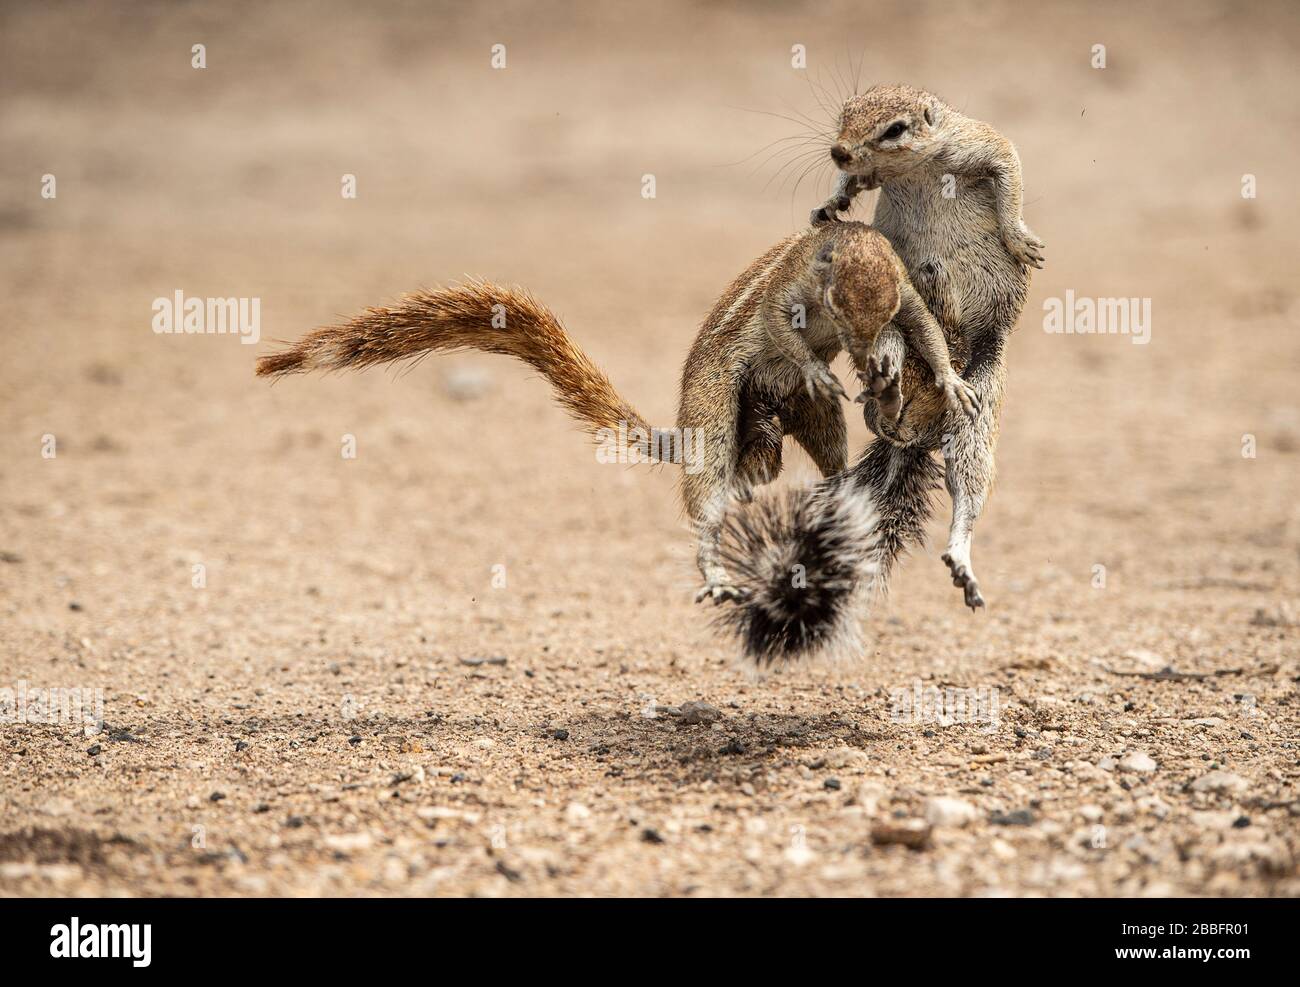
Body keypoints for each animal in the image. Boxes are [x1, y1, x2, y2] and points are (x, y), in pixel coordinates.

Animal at [255, 220, 977, 601]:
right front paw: (823, 365)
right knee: (710, 493)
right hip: (715, 407)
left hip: (788, 423)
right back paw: (717, 566)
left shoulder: (904, 293)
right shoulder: (784, 298)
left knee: (796, 462)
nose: (866, 355)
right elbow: (784, 331)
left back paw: (838, 493)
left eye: (880, 307)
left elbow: (925, 331)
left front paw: (933, 380)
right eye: (836, 296)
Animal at [722, 84, 1044, 663]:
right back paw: (888, 385)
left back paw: (961, 555)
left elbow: (1008, 168)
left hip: (979, 409)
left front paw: (1019, 238)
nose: (839, 151)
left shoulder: (973, 143)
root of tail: (917, 435)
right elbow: (852, 189)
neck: (913, 169)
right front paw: (832, 201)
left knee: (969, 485)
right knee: (889, 364)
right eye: (844, 115)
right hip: (890, 320)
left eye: (894, 129)